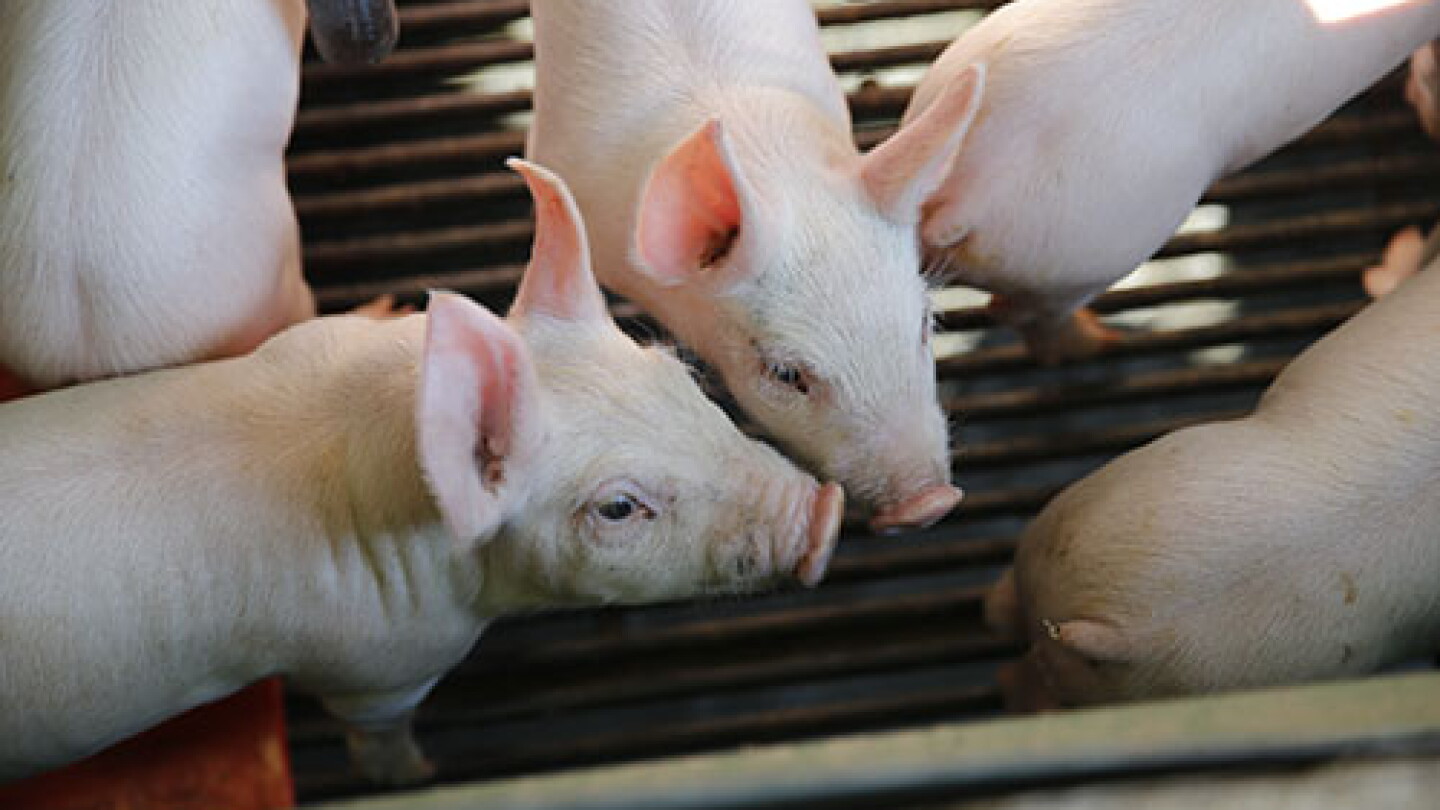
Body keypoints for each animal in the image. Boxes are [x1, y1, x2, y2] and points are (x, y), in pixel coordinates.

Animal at [0, 160, 842, 785]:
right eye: (617, 508)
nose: (826, 512)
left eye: (677, 375)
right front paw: (419, 773)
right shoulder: (378, 664)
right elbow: (378, 729)